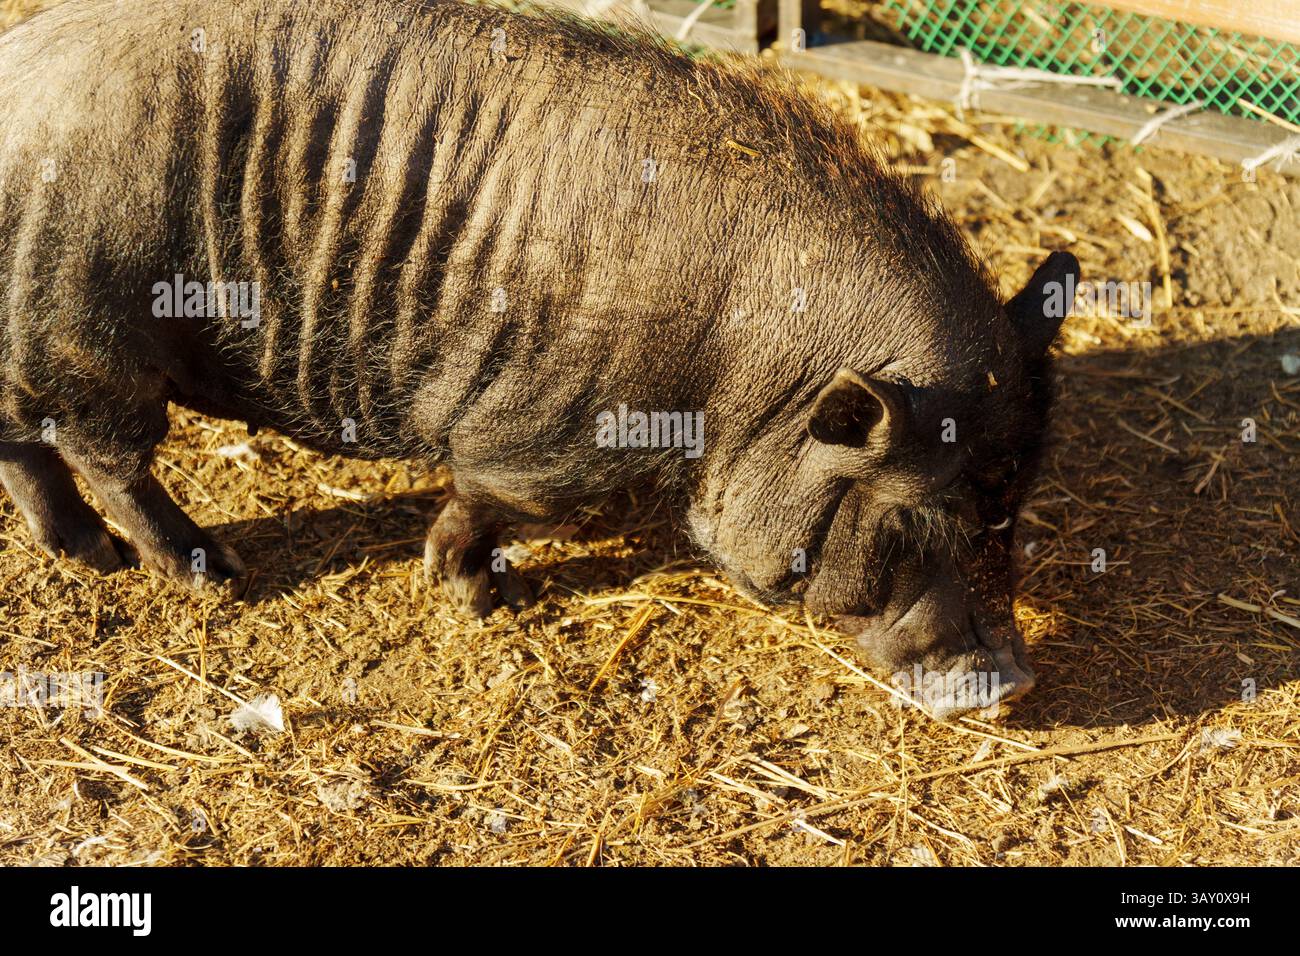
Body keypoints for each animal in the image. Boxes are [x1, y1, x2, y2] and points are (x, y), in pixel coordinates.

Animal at [0, 0, 1078, 718]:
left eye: (1012, 504)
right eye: (912, 517)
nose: (1015, 680)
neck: (750, 379)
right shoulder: (545, 432)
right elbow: (500, 505)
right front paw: (485, 596)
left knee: (24, 443)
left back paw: (85, 554)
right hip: (84, 330)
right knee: (107, 453)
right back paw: (210, 571)